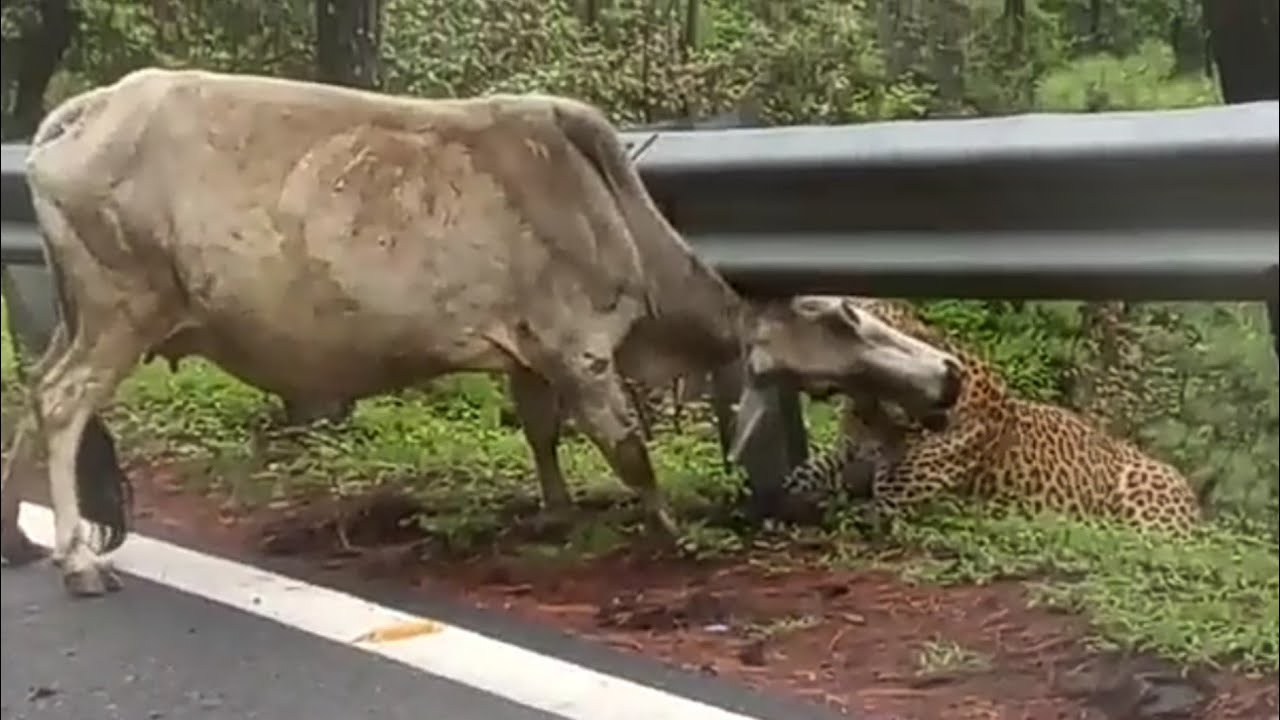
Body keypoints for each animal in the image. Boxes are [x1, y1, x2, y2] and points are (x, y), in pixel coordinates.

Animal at [0, 68, 962, 598]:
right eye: (841, 315)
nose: (948, 372)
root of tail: (74, 116)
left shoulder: (527, 356)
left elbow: (543, 437)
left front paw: (555, 513)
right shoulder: (579, 348)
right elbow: (633, 454)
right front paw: (675, 537)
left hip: (82, 314)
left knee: (30, 396)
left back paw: (20, 537)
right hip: (122, 308)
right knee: (62, 402)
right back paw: (79, 561)